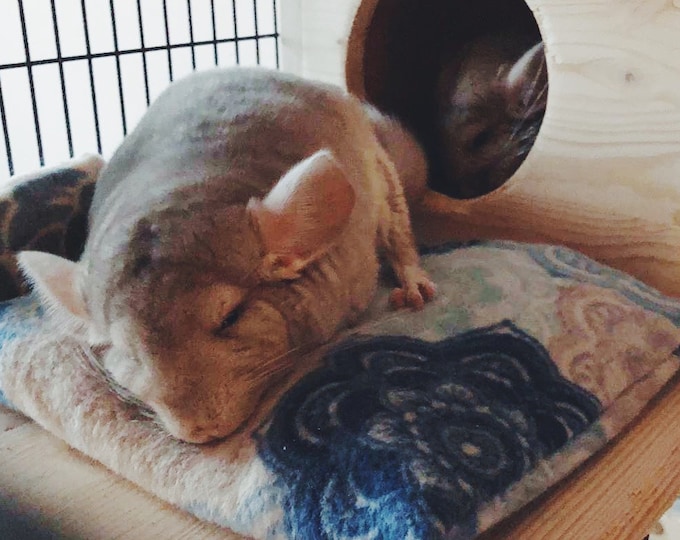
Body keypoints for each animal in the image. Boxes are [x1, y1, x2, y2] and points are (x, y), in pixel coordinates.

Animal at [17, 67, 435, 443]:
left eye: (231, 318)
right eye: (127, 353)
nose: (197, 432)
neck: (182, 187)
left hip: (382, 173)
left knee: (398, 229)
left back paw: (413, 288)